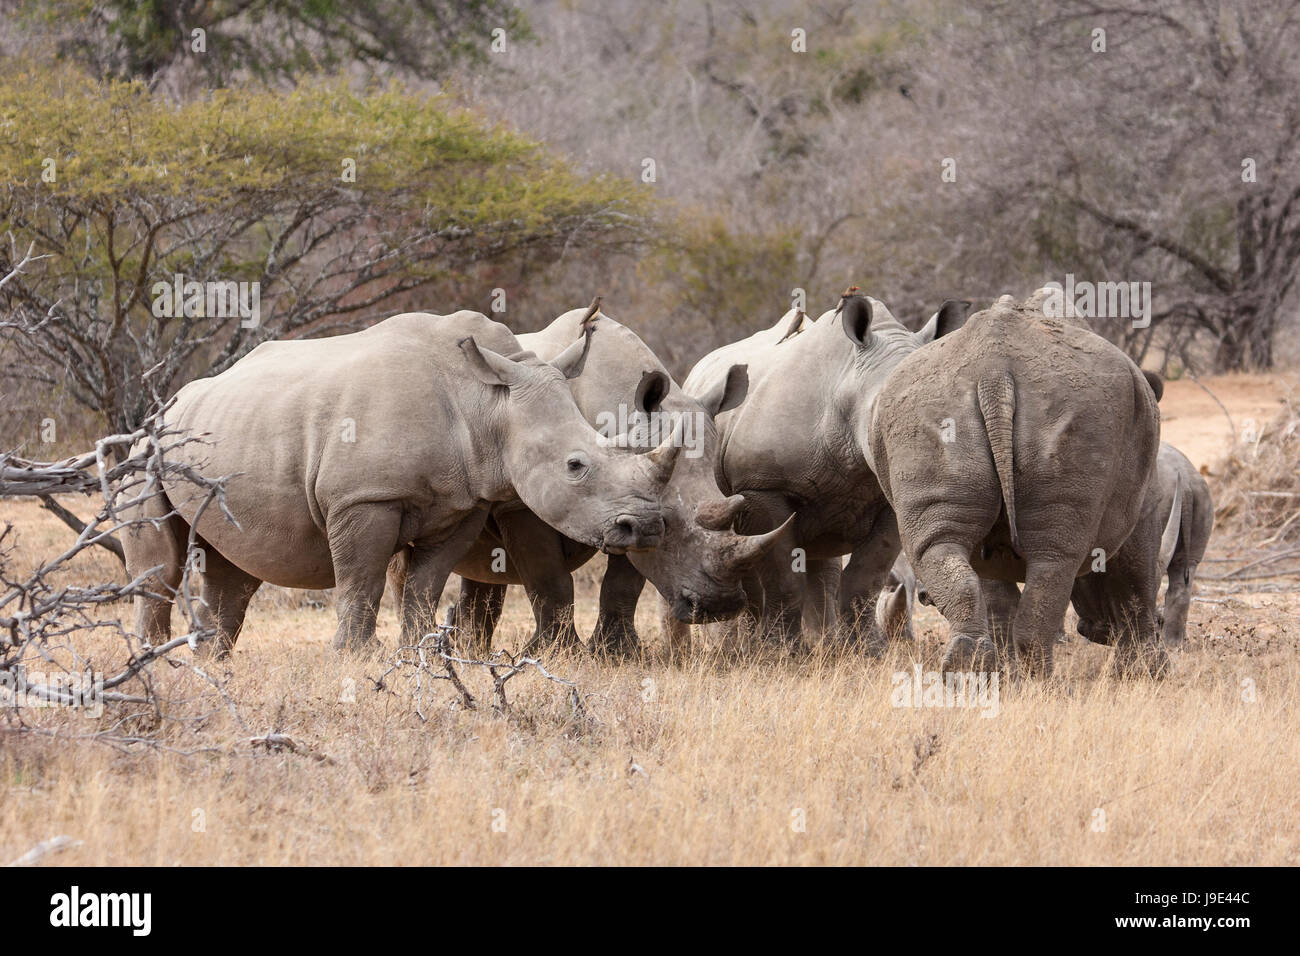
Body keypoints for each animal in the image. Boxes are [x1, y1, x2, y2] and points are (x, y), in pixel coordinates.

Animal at [121, 310, 682, 655]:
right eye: (575, 466)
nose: (647, 528)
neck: (488, 403)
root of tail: (168, 406)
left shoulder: (465, 502)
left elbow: (423, 584)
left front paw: (419, 652)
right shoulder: (365, 498)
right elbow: (361, 577)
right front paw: (354, 656)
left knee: (231, 568)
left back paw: (213, 662)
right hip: (146, 453)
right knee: (162, 568)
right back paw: (156, 660)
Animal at [388, 304, 788, 655]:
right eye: (668, 523)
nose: (721, 606)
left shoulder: (631, 502)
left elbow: (622, 582)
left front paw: (618, 653)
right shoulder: (527, 502)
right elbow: (550, 579)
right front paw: (559, 653)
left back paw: (470, 650)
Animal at [681, 290, 971, 644]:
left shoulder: (889, 497)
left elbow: (868, 575)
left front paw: (868, 649)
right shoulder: (762, 486)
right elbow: (783, 575)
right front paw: (783, 649)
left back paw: (826, 643)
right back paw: (743, 647)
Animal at [868, 294, 1163, 677]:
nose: (1096, 631)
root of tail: (994, 373)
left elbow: (997, 598)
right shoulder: (1143, 503)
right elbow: (1137, 579)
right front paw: (1147, 675)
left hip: (924, 412)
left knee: (941, 544)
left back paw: (969, 670)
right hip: (1079, 413)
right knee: (1056, 558)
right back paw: (1041, 683)